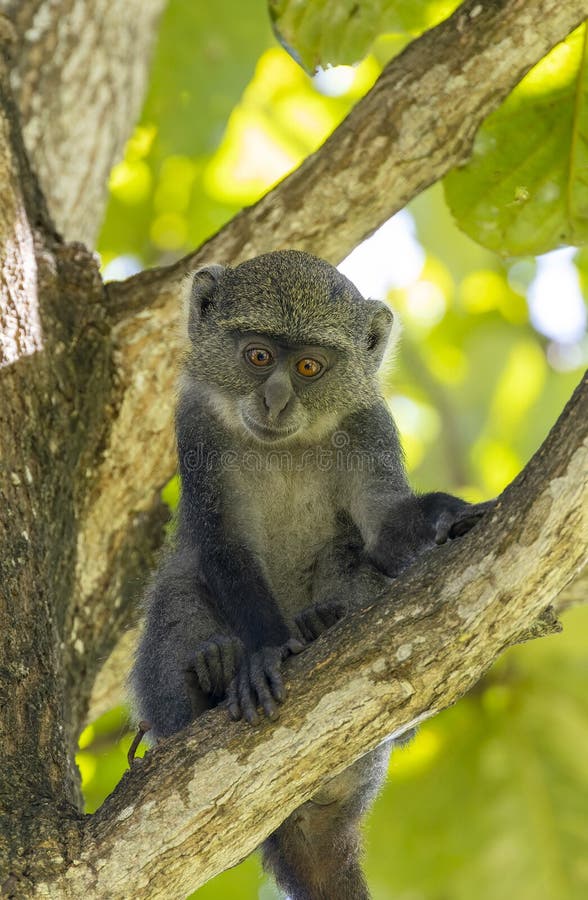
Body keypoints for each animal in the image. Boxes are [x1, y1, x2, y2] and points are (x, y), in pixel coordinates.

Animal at [131, 250, 493, 899]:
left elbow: (382, 532)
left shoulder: (369, 426)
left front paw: (449, 517)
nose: (275, 399)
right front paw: (265, 654)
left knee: (350, 557)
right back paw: (211, 677)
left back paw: (323, 626)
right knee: (179, 590)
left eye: (307, 366)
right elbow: (223, 549)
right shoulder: (196, 423)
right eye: (258, 356)